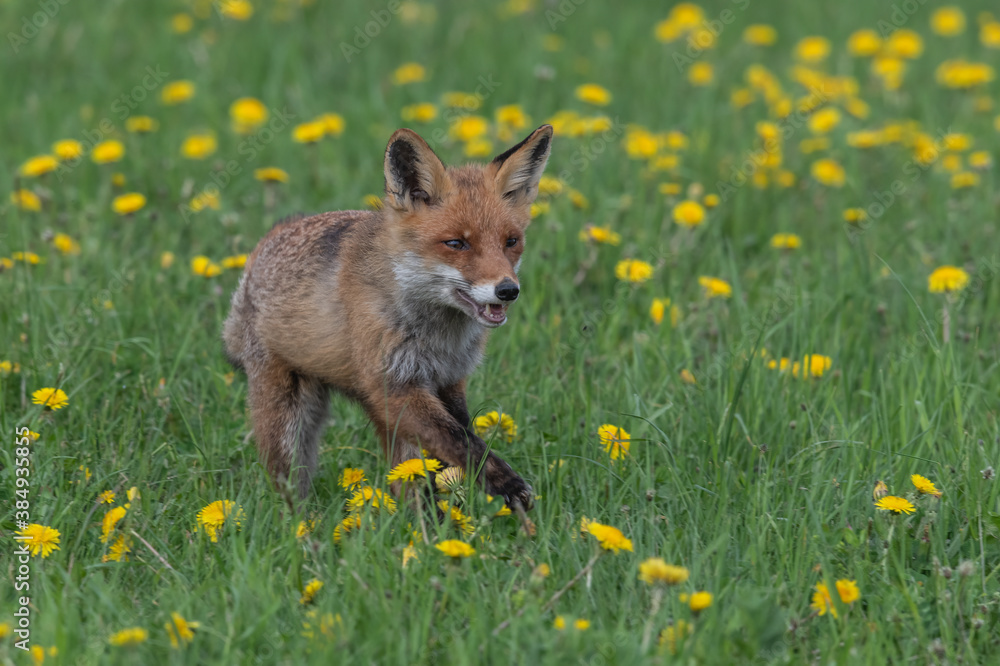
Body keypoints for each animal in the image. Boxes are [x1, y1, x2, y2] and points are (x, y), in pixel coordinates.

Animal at [222, 124, 553, 511]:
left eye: (511, 242)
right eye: (456, 244)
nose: (507, 290)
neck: (438, 337)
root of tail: (262, 248)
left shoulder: (447, 381)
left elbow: (460, 436)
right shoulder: (396, 385)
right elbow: (462, 442)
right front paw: (506, 484)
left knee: (403, 475)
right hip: (289, 416)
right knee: (289, 486)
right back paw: (304, 524)